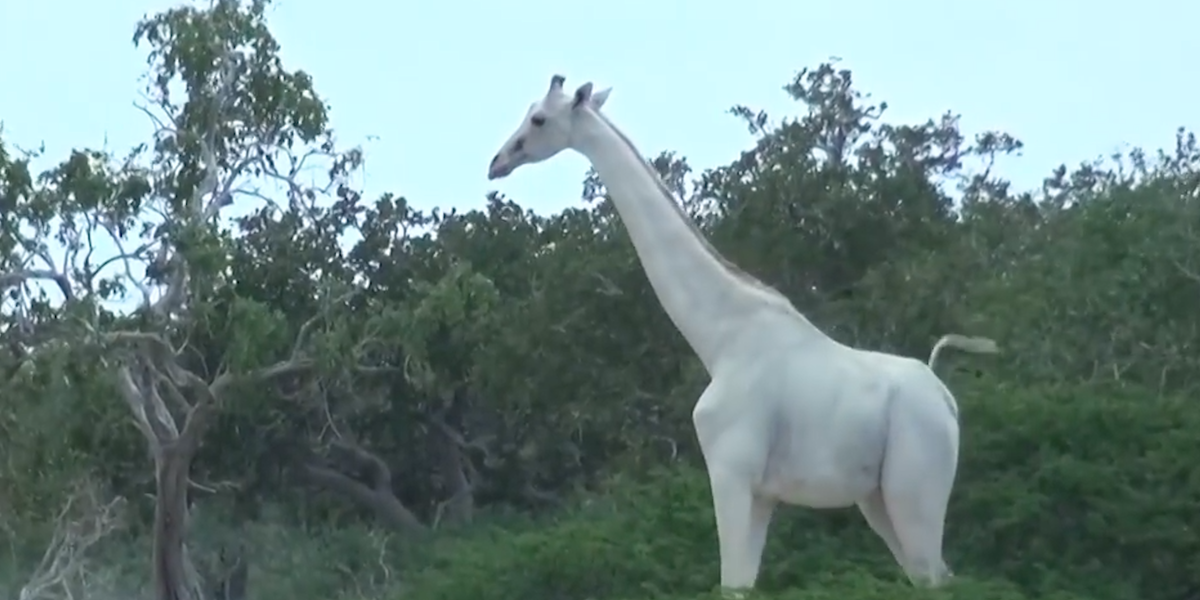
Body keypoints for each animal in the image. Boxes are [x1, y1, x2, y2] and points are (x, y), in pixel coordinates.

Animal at [487, 75, 999, 593]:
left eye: (538, 119)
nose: (497, 162)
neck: (720, 338)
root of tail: (945, 399)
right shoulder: (763, 492)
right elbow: (742, 584)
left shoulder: (731, 471)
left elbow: (729, 581)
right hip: (876, 499)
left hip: (914, 491)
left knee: (935, 575)